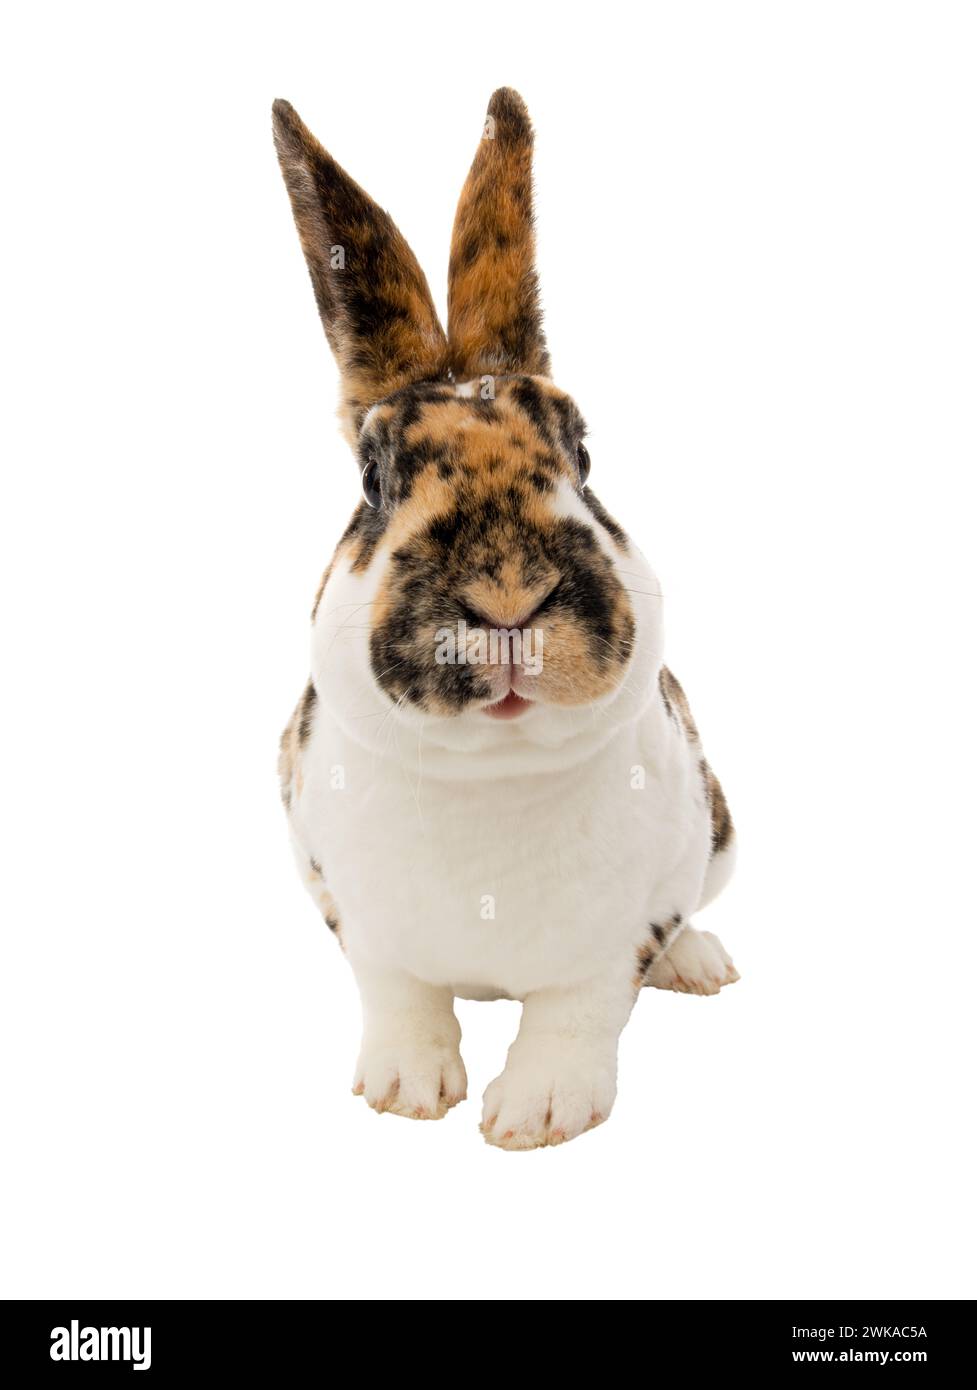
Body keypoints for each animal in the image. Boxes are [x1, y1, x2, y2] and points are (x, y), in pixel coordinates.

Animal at [272, 87, 739, 1151]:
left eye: (583, 454)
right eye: (373, 479)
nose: (508, 597)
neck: (489, 773)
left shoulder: (620, 935)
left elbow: (578, 1014)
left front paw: (537, 1116)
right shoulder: (354, 913)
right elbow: (398, 995)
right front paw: (405, 1090)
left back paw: (703, 965)